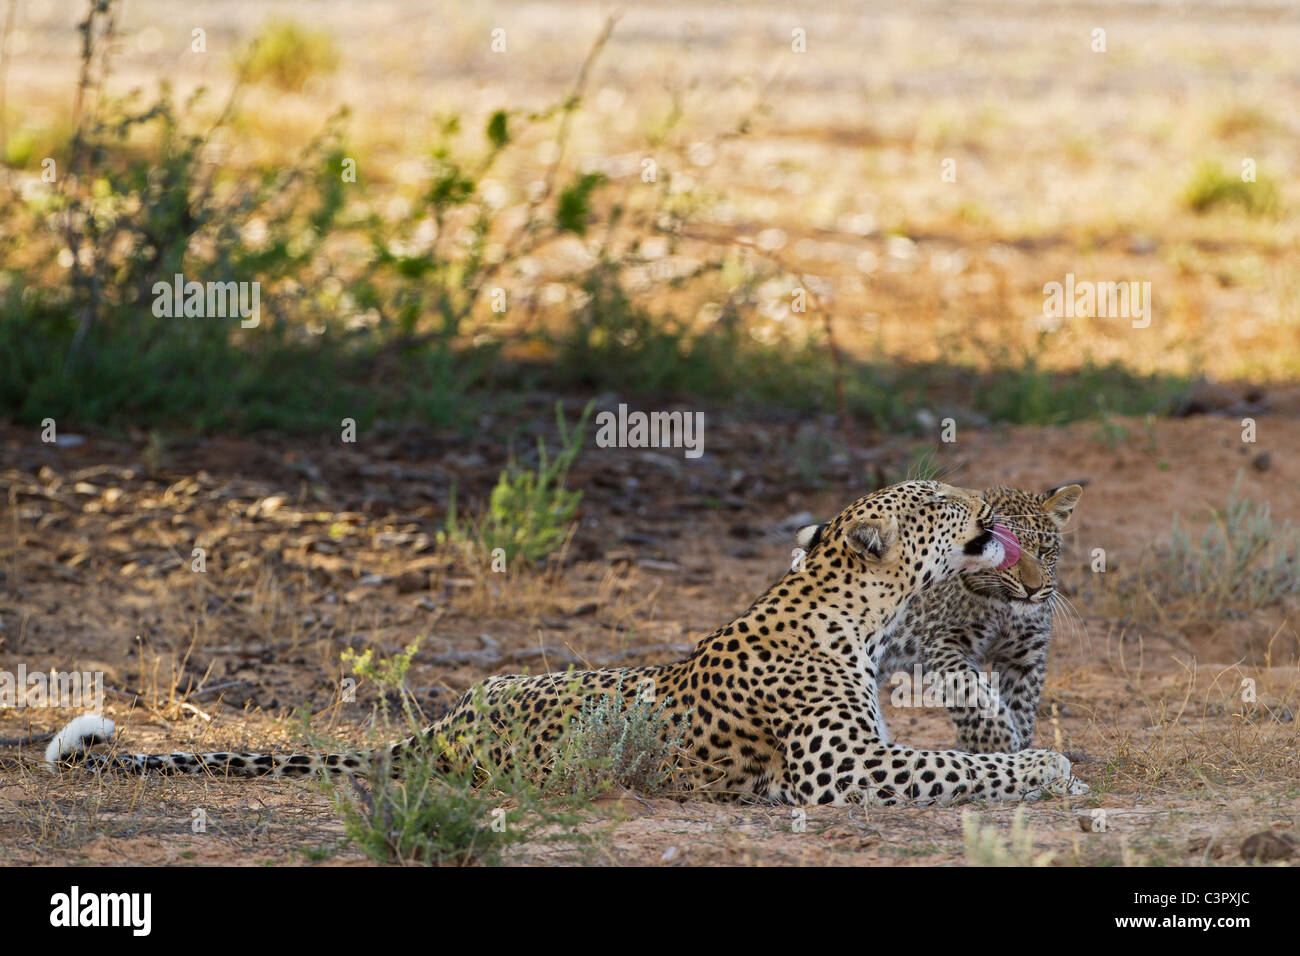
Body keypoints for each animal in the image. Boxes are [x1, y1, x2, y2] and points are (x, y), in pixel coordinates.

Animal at [45, 479, 1087, 807]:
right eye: (939, 503)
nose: (981, 504)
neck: (853, 615)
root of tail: (446, 725)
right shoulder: (843, 771)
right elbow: (967, 767)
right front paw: (1053, 771)